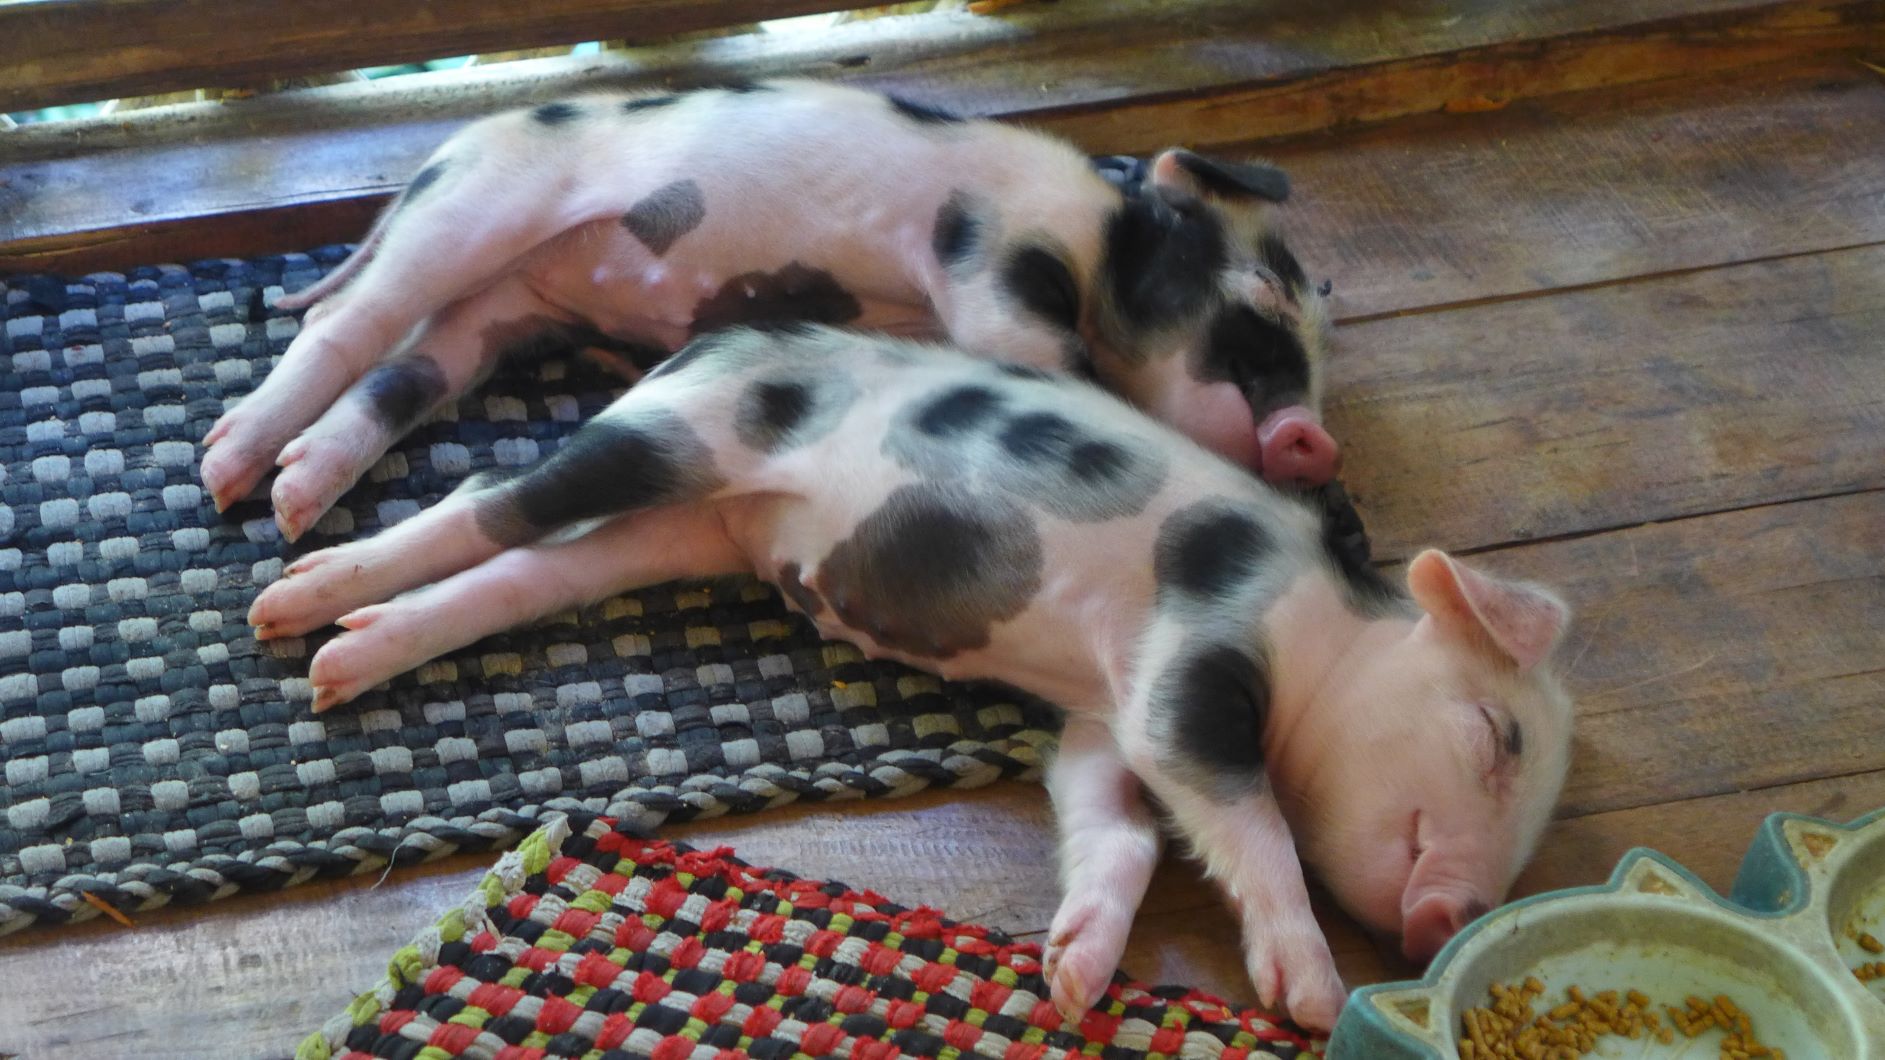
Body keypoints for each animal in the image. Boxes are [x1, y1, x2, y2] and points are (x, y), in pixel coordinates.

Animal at [198, 77, 1338, 542]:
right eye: (1257, 307)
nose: (1312, 440)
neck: (1099, 240)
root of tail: (438, 159)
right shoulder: (991, 263)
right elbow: (1035, 353)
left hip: (501, 308)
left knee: (407, 370)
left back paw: (291, 500)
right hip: (479, 211)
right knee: (338, 327)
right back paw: (225, 472)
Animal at [246, 323, 1574, 1032]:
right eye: (1493, 734)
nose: (1448, 914)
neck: (1316, 629)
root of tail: (717, 337)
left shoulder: (1100, 721)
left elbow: (1119, 831)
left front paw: (1072, 975)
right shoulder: (1191, 661)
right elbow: (1248, 821)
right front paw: (1308, 993)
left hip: (681, 532)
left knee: (525, 568)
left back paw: (338, 660)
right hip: (676, 433)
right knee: (489, 498)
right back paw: (290, 599)